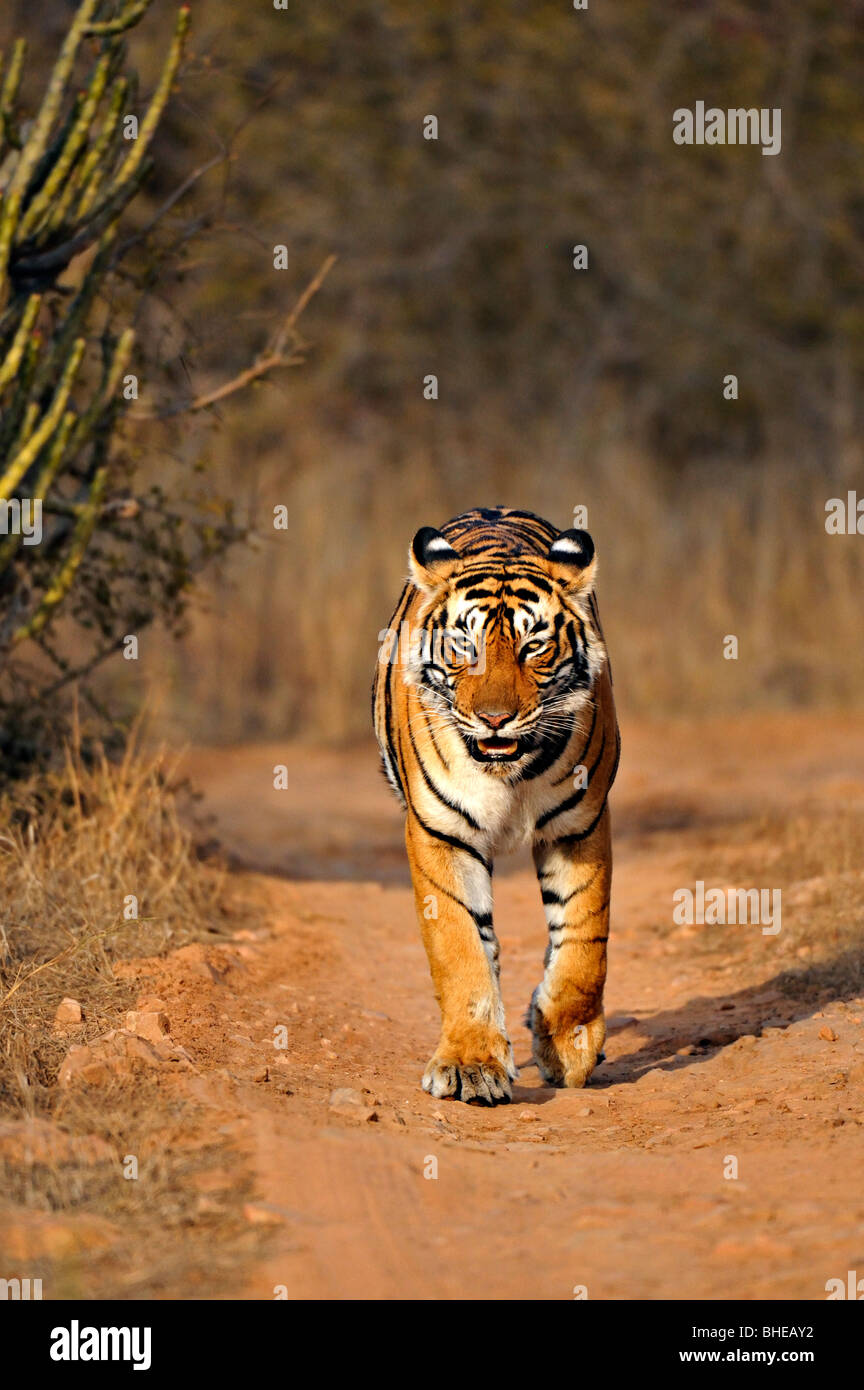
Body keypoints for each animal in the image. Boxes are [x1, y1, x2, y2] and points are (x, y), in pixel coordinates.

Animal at [373, 506, 620, 1105]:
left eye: (534, 646)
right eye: (466, 646)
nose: (494, 718)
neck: (509, 771)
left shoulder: (580, 824)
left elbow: (585, 941)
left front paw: (568, 1044)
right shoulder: (441, 831)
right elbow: (459, 943)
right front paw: (471, 1065)